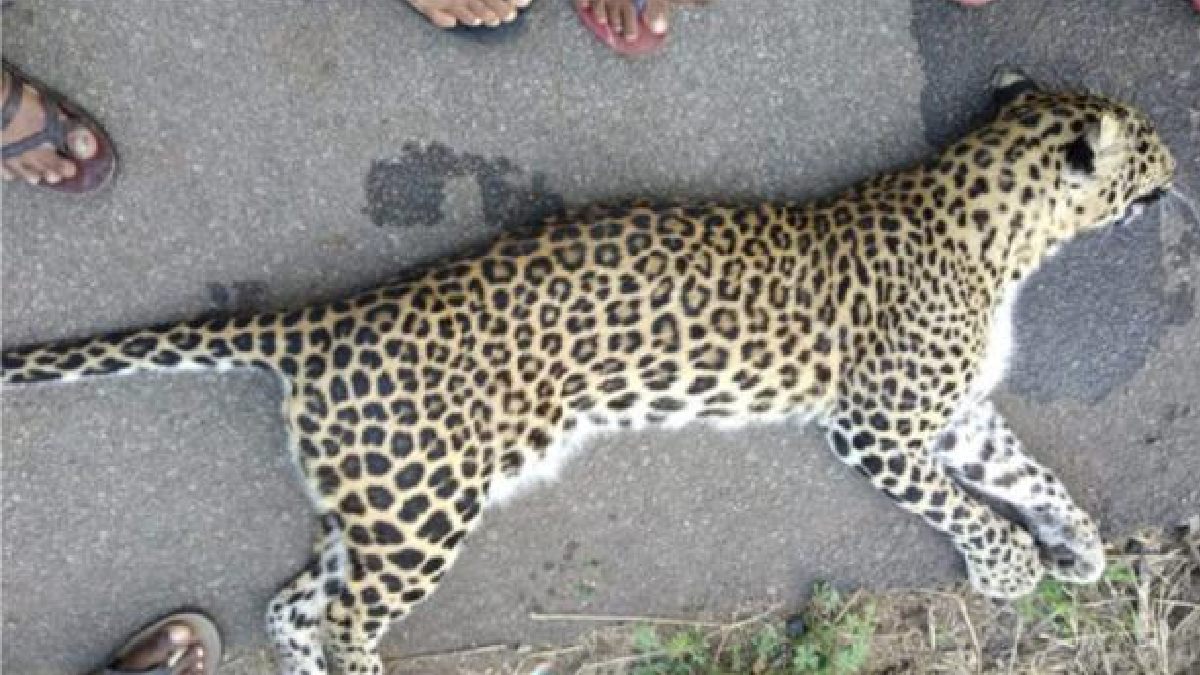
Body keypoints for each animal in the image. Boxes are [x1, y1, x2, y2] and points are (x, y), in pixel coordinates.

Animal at [0, 70, 1176, 674]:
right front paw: (1010, 565)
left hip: (378, 502)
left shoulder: (960, 413)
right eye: (1155, 148)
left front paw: (1076, 544)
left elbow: (1023, 474)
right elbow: (960, 502)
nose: (1179, 170)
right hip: (424, 509)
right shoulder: (880, 426)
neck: (1005, 231)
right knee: (338, 617)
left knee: (295, 604)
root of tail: (333, 316)